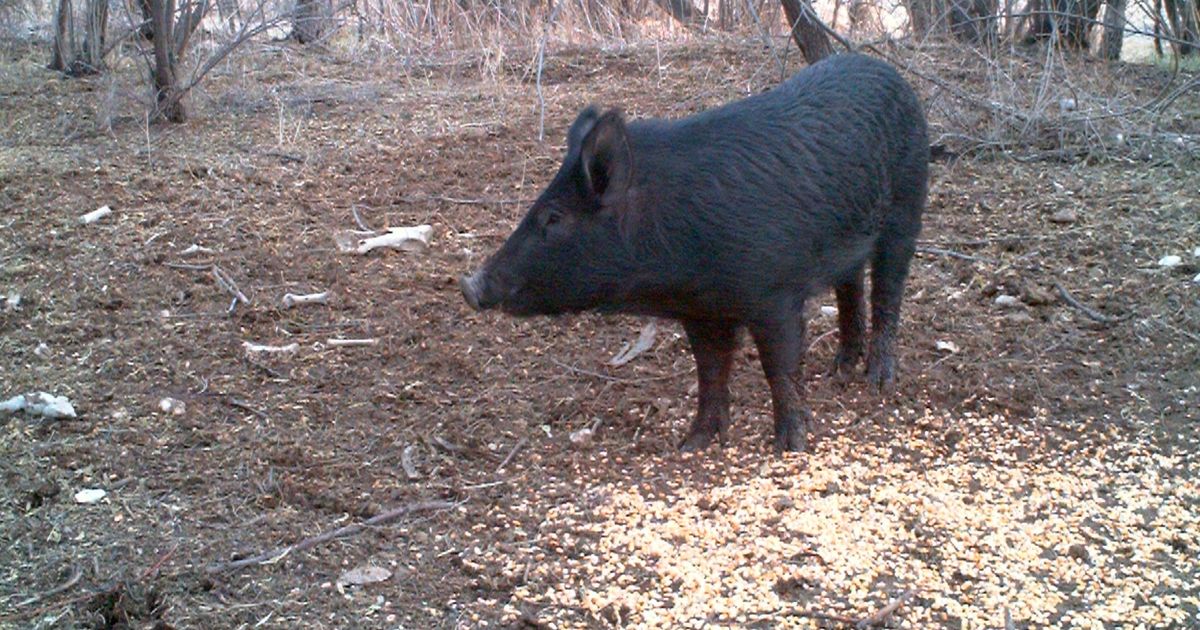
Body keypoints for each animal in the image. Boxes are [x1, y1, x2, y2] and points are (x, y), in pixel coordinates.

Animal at [460, 53, 928, 453]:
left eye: (553, 218)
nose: (470, 284)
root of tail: (892, 74)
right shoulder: (701, 311)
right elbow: (710, 372)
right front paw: (693, 444)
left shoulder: (774, 294)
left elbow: (779, 367)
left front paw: (790, 446)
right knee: (851, 288)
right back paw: (840, 371)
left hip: (907, 206)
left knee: (888, 291)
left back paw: (878, 381)